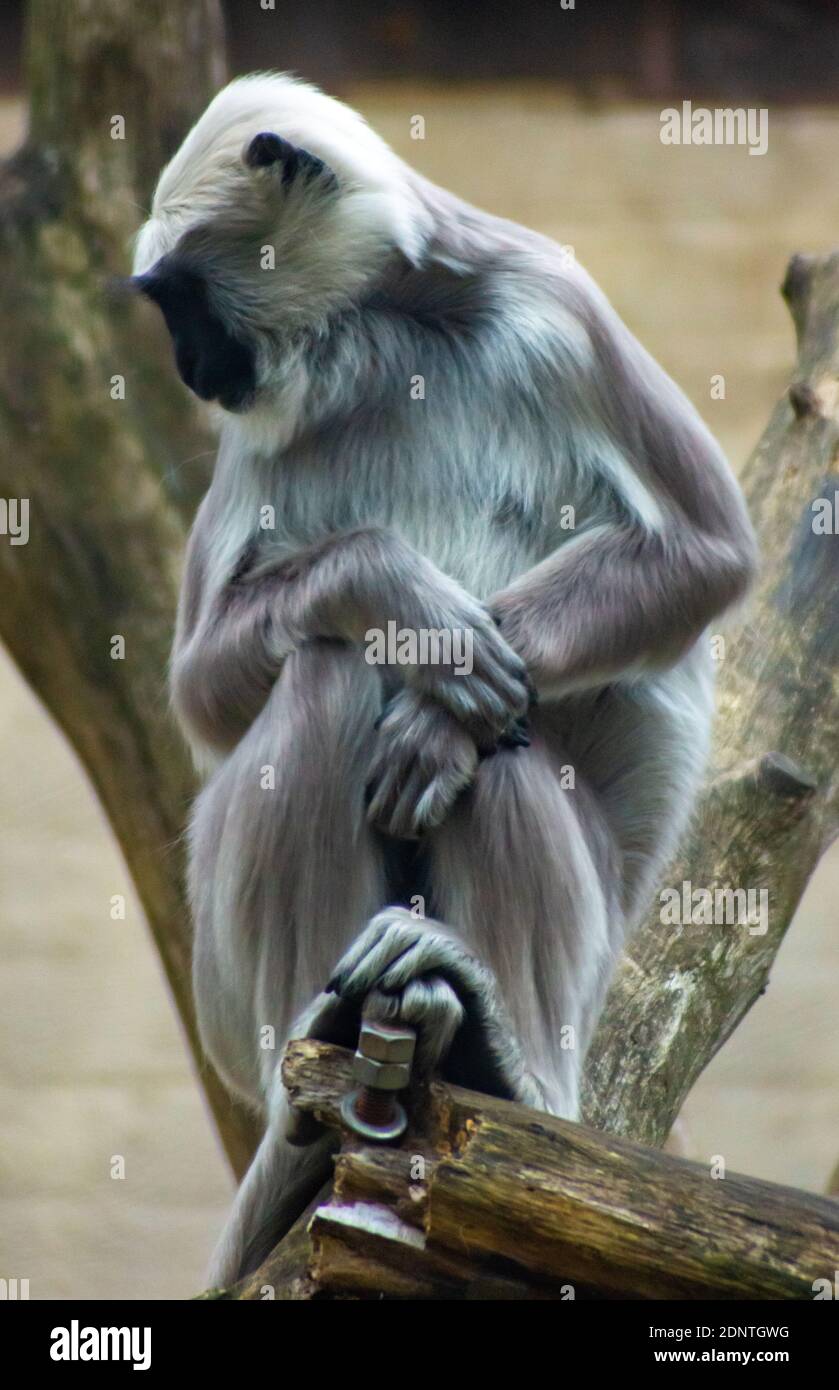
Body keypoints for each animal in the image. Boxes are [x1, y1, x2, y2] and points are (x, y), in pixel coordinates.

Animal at [131, 73, 756, 1287]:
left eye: (179, 299)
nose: (185, 367)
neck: (383, 330)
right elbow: (200, 689)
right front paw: (406, 606)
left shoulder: (551, 301)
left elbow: (707, 553)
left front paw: (436, 698)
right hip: (221, 985)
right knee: (326, 678)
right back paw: (309, 1084)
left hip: (591, 951)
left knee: (495, 750)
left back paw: (494, 1053)